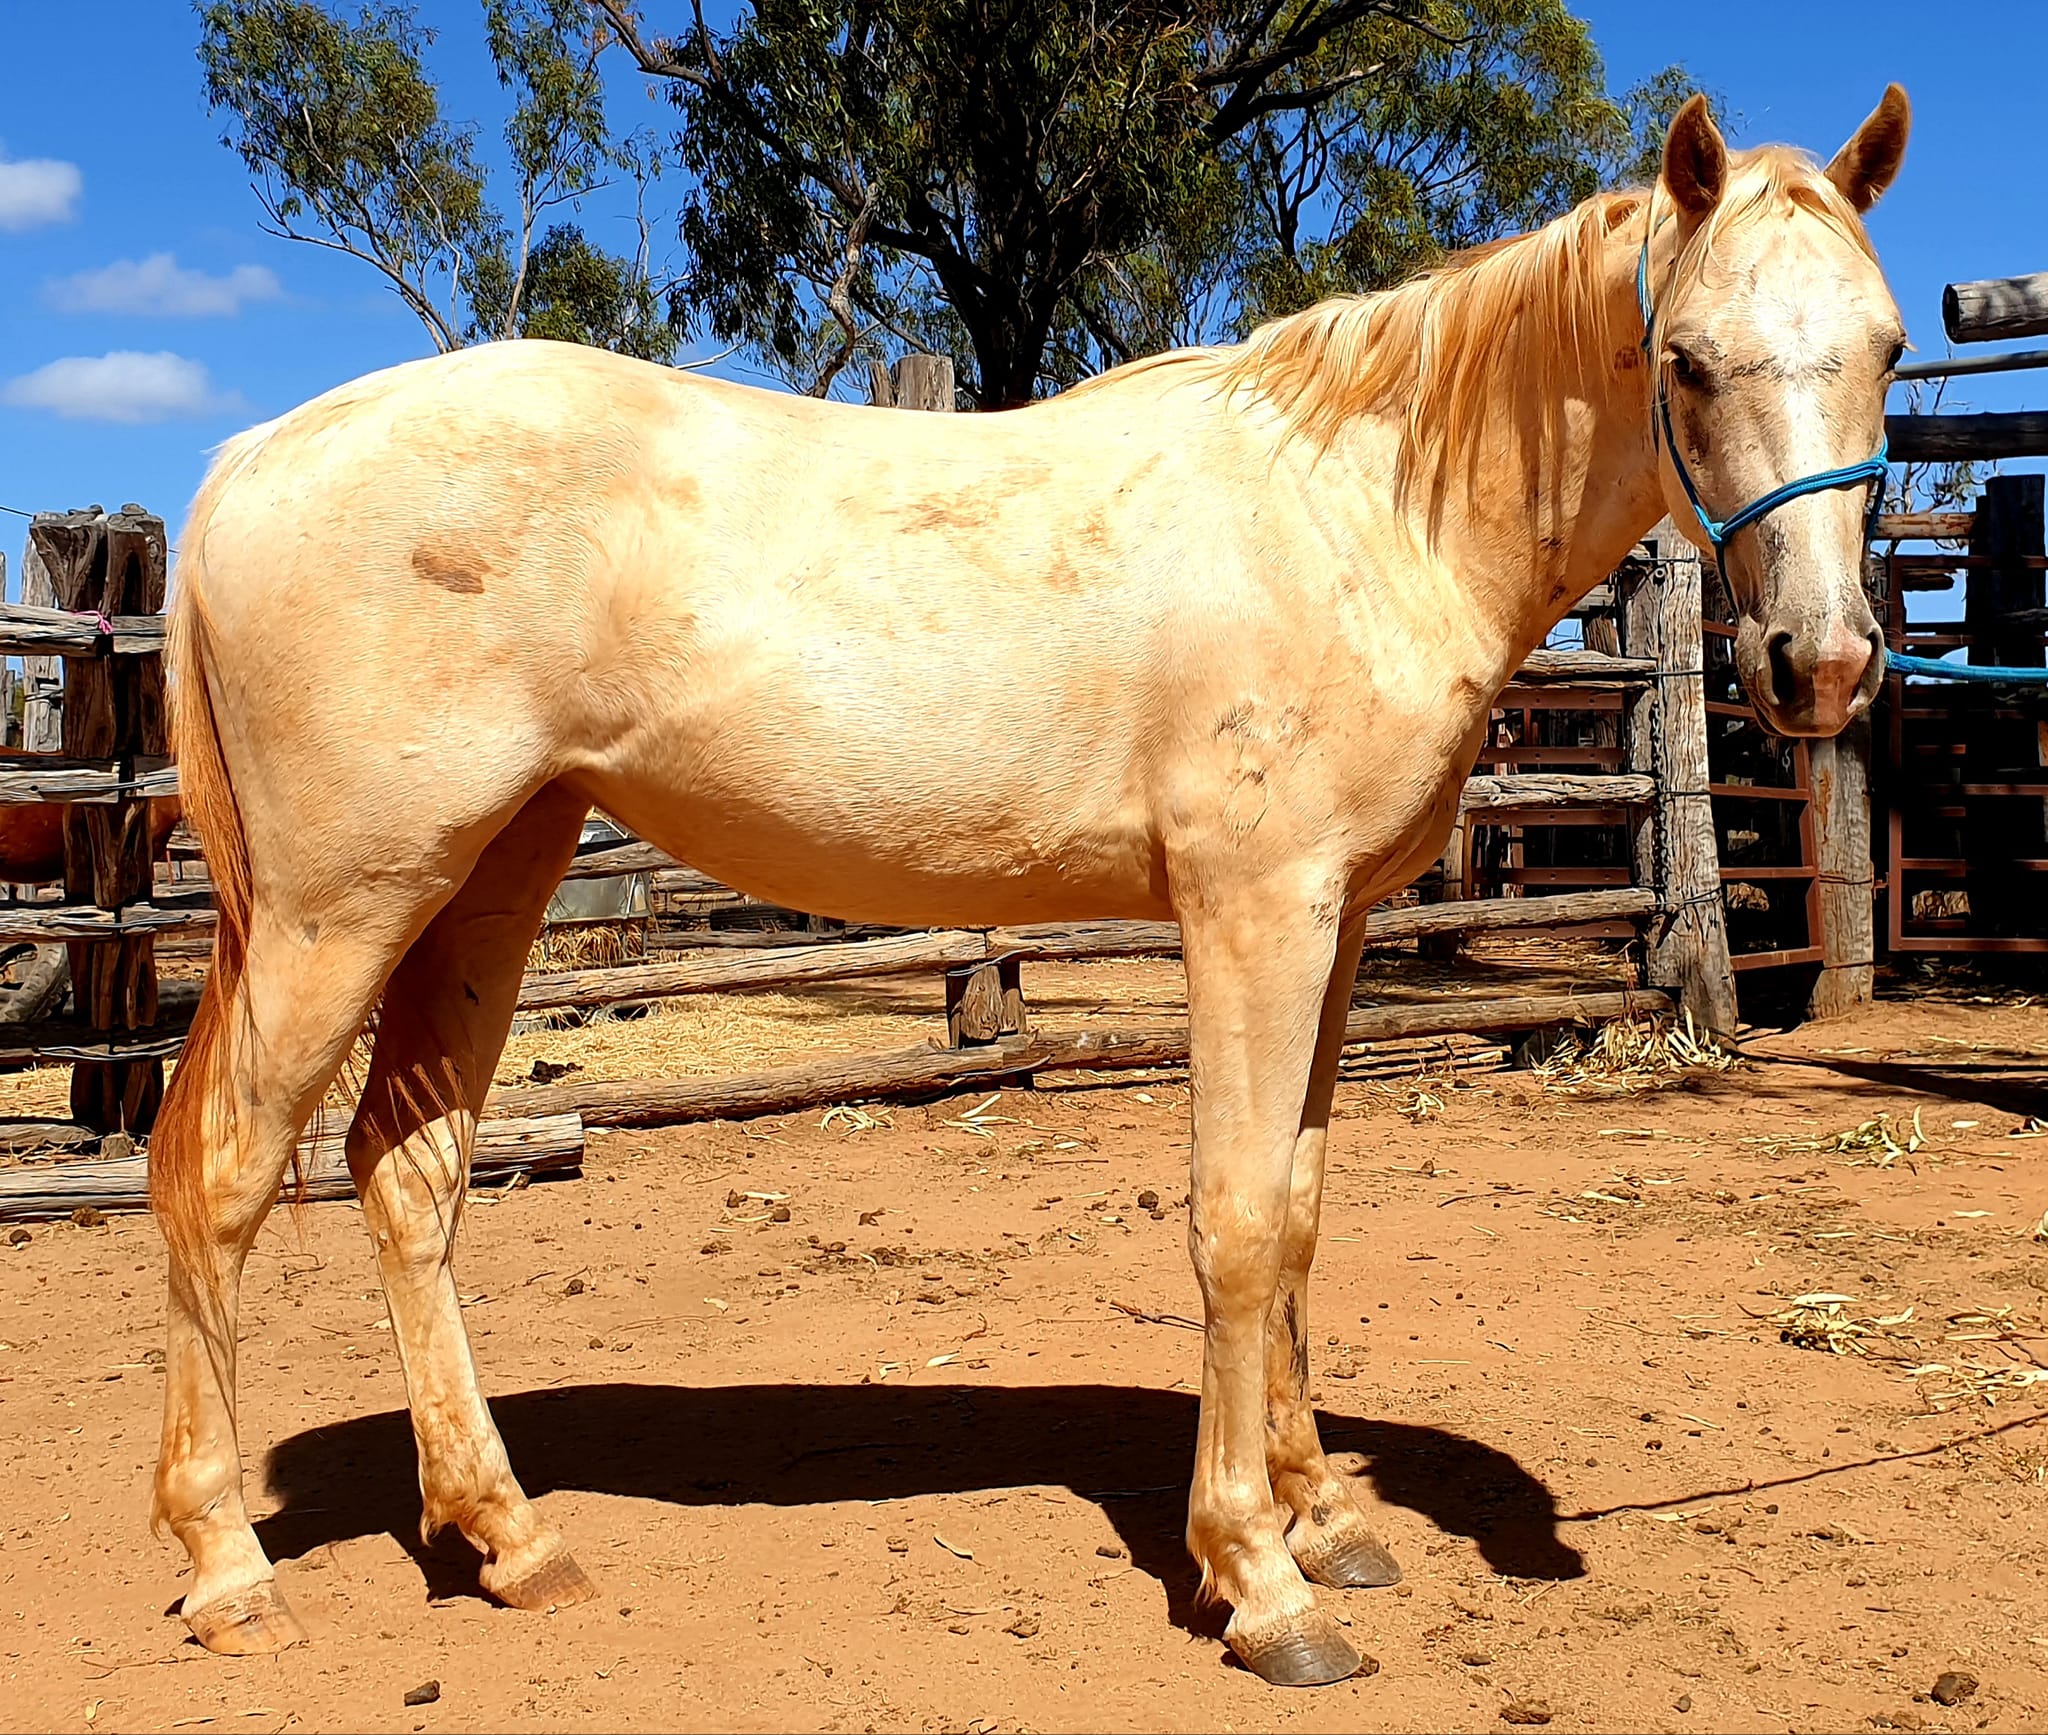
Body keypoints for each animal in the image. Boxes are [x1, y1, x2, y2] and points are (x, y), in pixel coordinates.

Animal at [147, 89, 1909, 1685]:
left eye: (1887, 351)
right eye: (1688, 360)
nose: (1820, 666)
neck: (1357, 511)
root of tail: (248, 459)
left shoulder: (1333, 927)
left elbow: (1303, 1207)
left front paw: (1326, 1513)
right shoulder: (1252, 915)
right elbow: (1238, 1221)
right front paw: (1260, 1577)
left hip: (486, 878)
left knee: (408, 1172)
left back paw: (510, 1536)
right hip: (337, 907)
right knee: (222, 1174)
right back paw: (230, 1568)